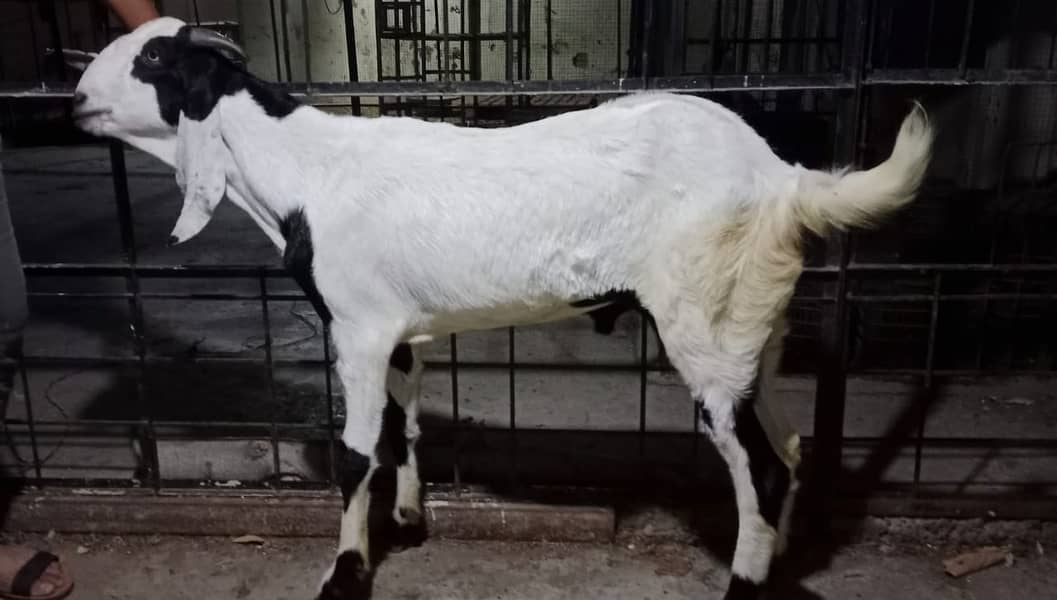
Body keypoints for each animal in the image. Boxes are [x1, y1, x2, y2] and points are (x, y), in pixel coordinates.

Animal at [73, 17, 933, 600]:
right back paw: (778, 558)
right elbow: (403, 425)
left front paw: (345, 573)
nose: (76, 99)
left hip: (706, 320)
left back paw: (746, 583)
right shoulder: (397, 330)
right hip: (755, 320)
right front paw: (410, 520)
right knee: (787, 446)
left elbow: (353, 453)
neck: (299, 171)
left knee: (756, 460)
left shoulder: (356, 326)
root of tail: (784, 179)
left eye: (153, 59)